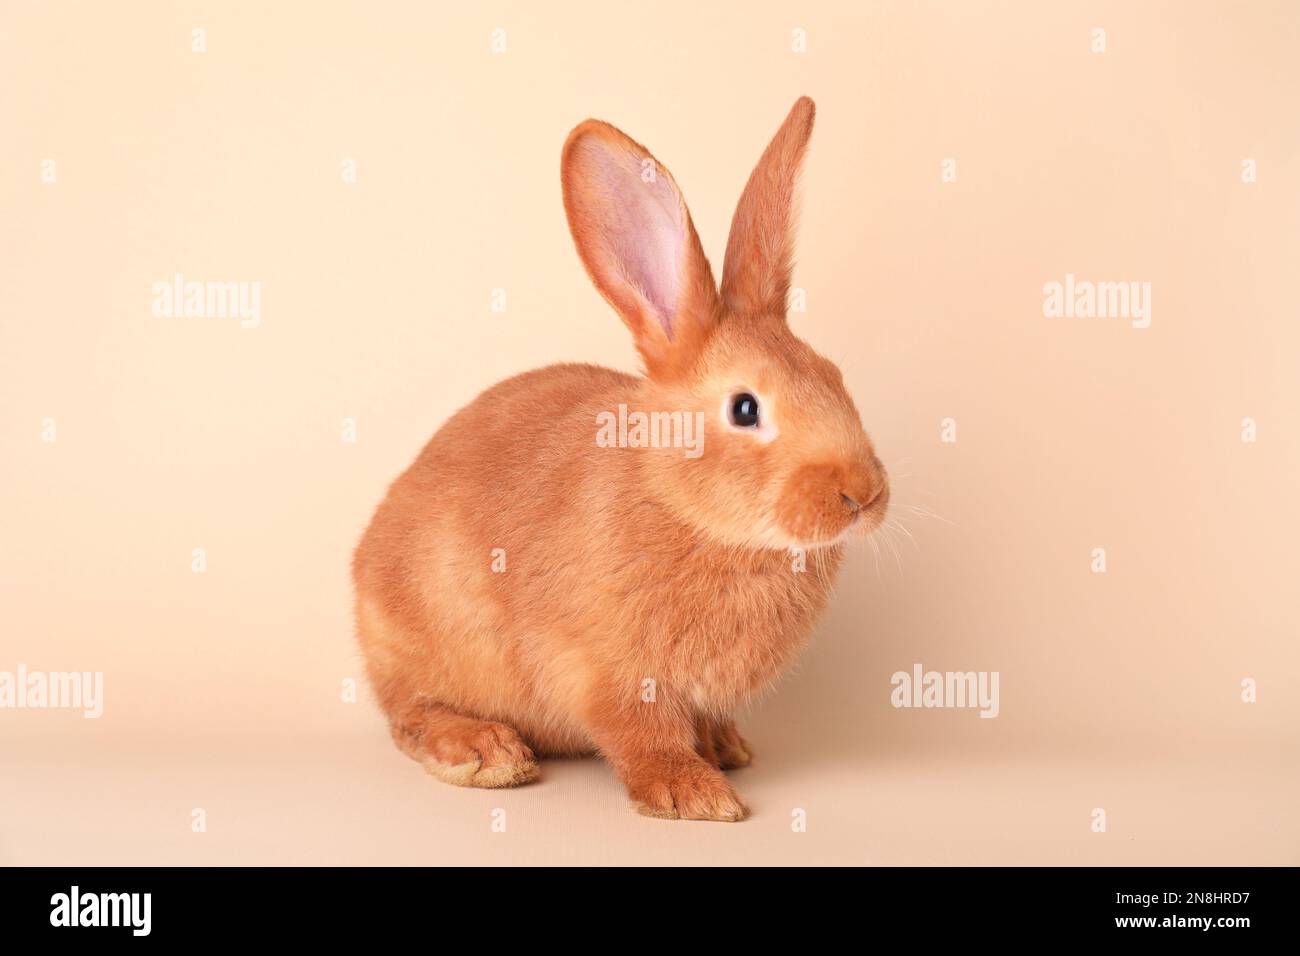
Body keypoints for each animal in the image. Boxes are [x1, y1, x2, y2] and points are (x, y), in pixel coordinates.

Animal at [352, 97, 889, 821]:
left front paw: (723, 750)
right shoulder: (607, 673)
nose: (864, 494)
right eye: (745, 409)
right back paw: (485, 752)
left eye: (834, 376)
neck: (690, 511)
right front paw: (693, 794)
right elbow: (639, 736)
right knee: (408, 713)